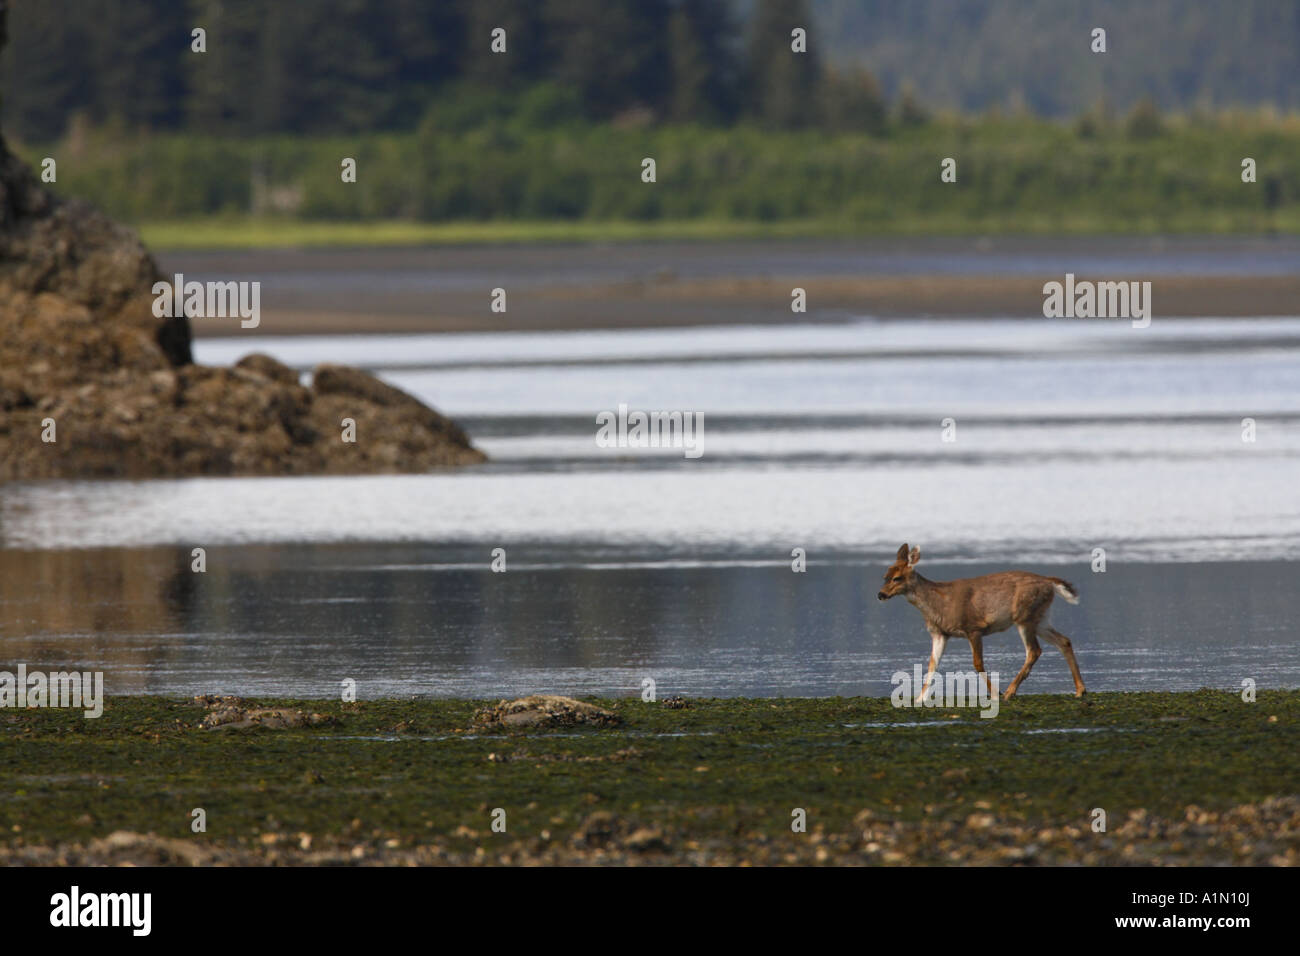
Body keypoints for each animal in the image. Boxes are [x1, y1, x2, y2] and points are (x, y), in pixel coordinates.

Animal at [876, 544, 1086, 702]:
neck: (939, 605)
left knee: (1034, 650)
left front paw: (995, 693)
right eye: (885, 576)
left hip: (1024, 616)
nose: (880, 594)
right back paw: (1080, 690)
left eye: (897, 578)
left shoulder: (973, 627)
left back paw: (1009, 692)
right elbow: (932, 665)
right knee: (1064, 641)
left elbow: (977, 664)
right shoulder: (940, 633)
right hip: (1040, 617)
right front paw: (920, 698)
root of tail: (1049, 582)